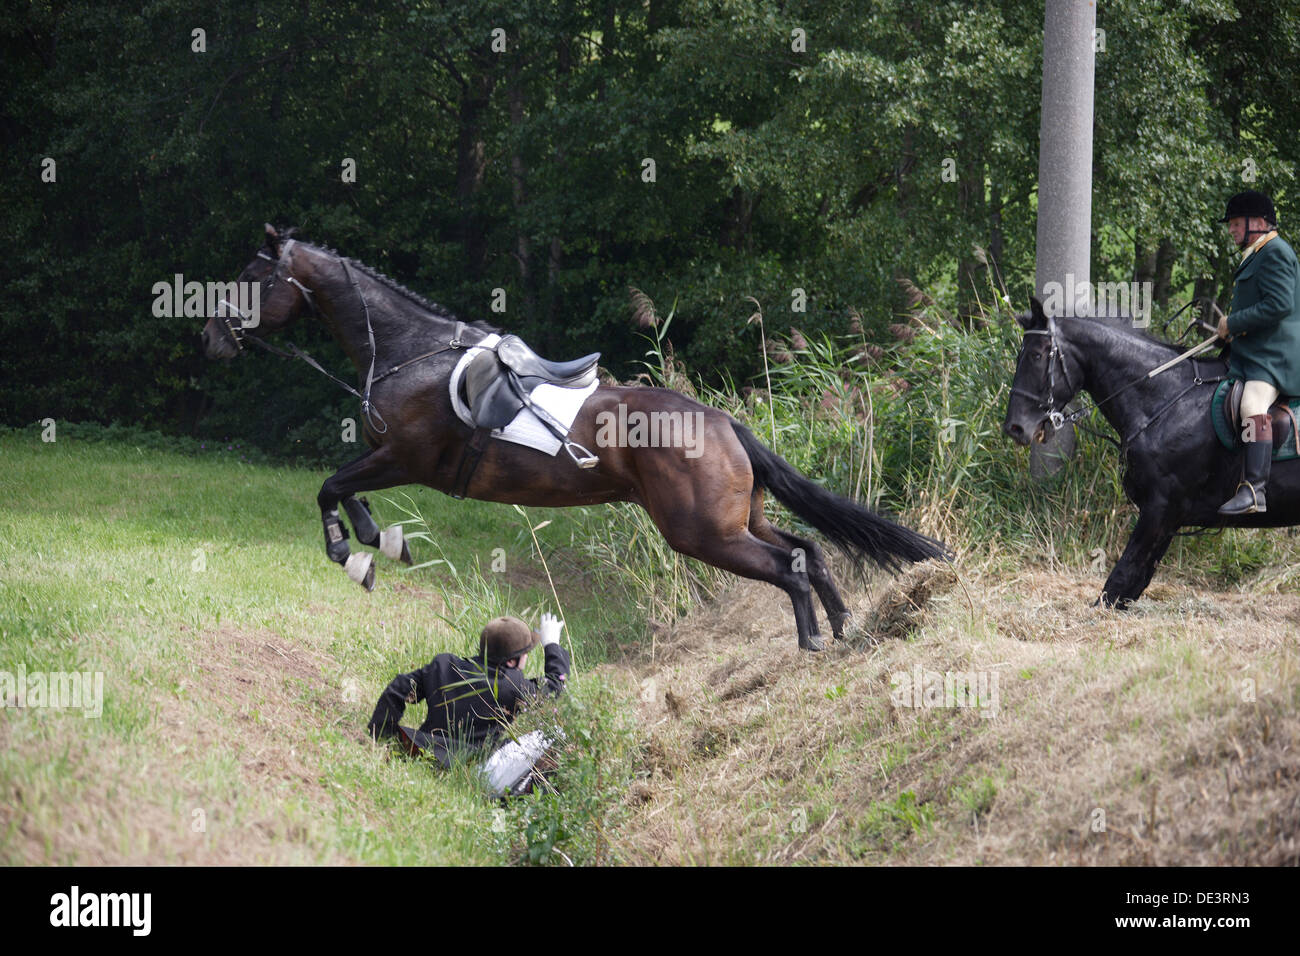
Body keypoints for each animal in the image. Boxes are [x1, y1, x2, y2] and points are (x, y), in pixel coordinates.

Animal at [200, 225, 949, 650]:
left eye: (252, 277)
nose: (210, 338)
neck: (412, 351)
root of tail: (723, 422)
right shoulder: (395, 461)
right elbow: (343, 490)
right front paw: (379, 541)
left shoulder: (405, 457)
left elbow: (330, 486)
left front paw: (351, 550)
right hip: (738, 517)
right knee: (808, 552)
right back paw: (847, 633)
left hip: (701, 531)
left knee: (787, 568)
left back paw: (812, 644)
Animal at [1003, 296, 1300, 608]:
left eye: (1037, 355)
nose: (1014, 427)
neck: (1166, 399)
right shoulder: (1164, 516)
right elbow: (1135, 578)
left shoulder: (1162, 507)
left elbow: (1125, 572)